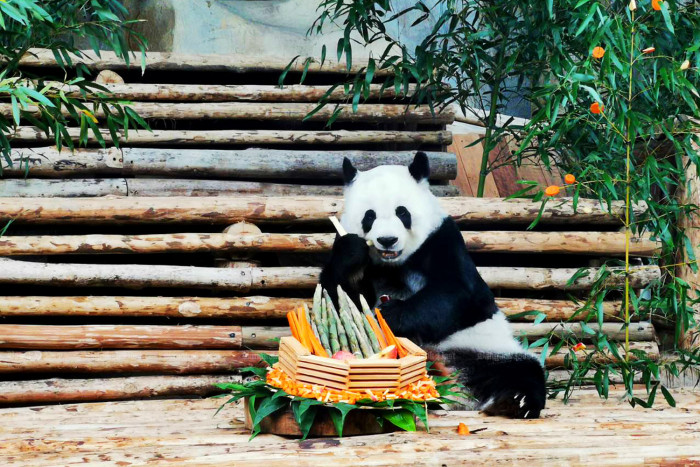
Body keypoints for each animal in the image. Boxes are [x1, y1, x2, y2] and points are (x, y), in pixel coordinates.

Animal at [320, 151, 546, 419]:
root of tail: (457, 391)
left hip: (486, 348)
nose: (387, 240)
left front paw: (390, 315)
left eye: (402, 212)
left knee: (522, 370)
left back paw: (515, 402)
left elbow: (454, 293)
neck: (394, 263)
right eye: (369, 215)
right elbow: (339, 300)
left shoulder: (442, 239)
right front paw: (352, 255)